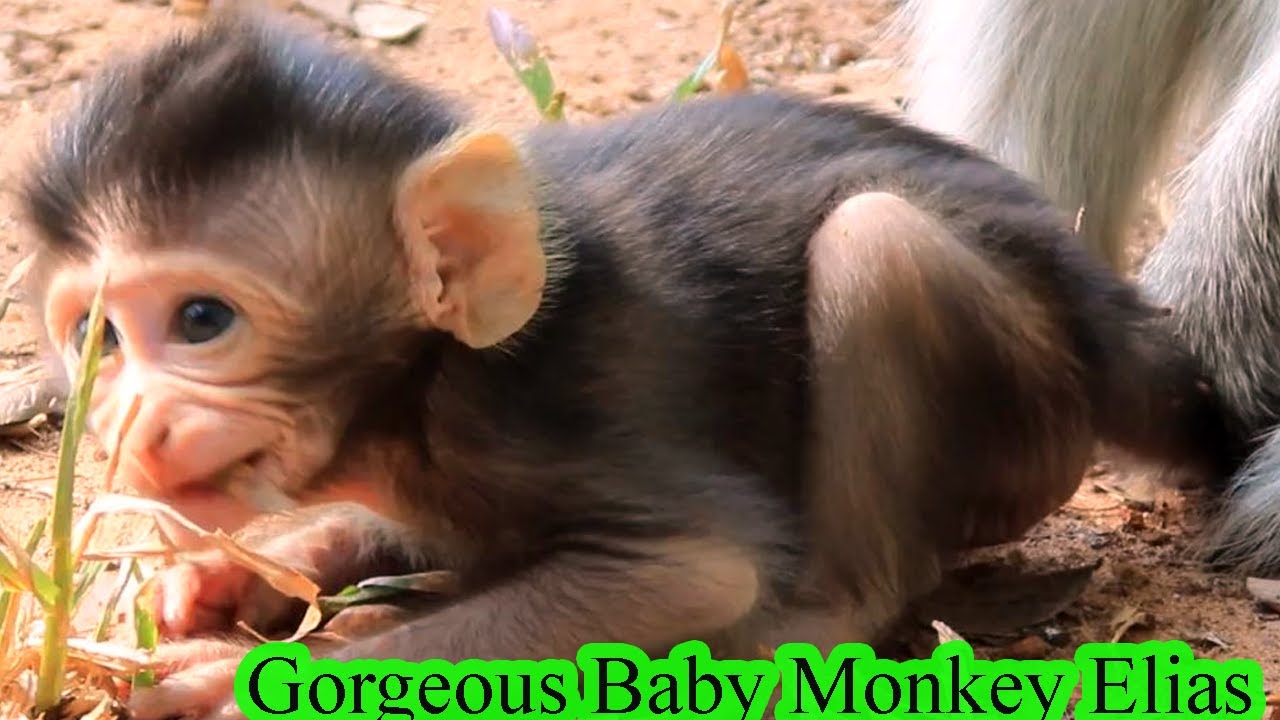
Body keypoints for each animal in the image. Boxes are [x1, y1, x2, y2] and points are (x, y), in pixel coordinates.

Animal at [15, 10, 1239, 719]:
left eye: (202, 319)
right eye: (96, 335)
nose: (123, 422)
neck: (426, 382)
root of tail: (1106, 305)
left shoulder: (539, 412)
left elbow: (687, 572)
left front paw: (247, 681)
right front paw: (240, 577)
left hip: (1033, 414)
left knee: (875, 245)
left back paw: (797, 632)